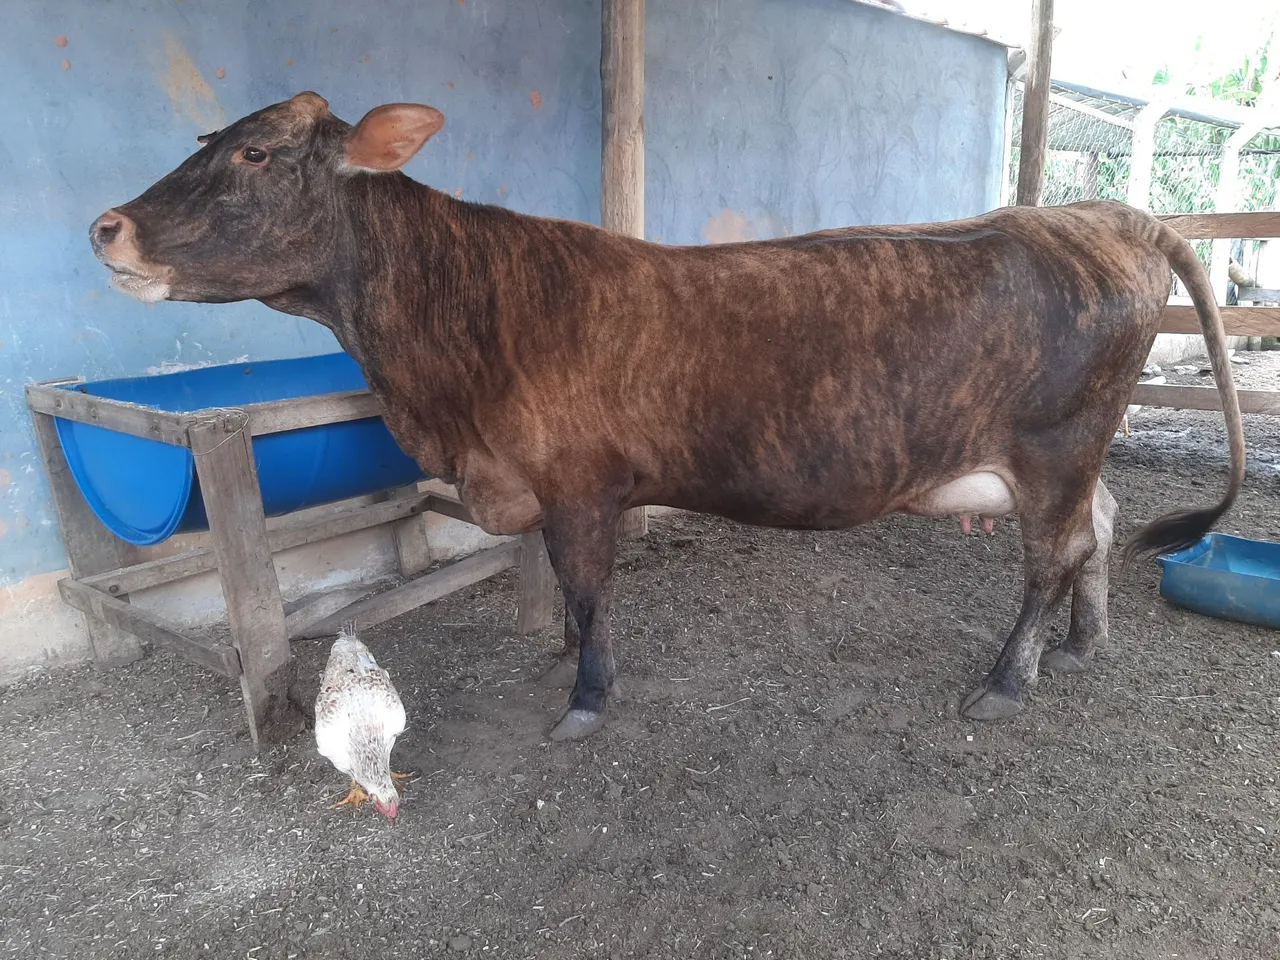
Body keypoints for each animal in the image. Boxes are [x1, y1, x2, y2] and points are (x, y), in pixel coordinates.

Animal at [89, 92, 1245, 741]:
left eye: (256, 156)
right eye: (212, 139)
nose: (106, 227)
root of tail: (1101, 213)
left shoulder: (578, 484)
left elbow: (590, 590)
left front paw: (584, 700)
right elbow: (566, 594)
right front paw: (559, 660)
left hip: (1055, 445)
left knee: (1050, 553)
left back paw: (1008, 681)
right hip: (1077, 452)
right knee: (1096, 531)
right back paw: (1081, 646)